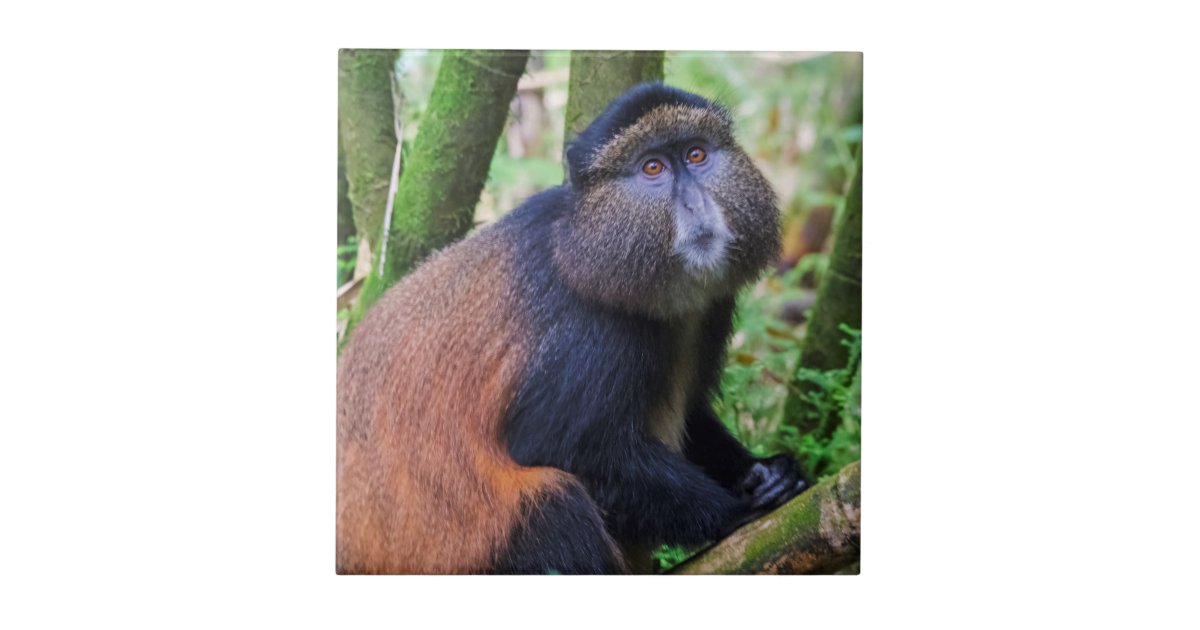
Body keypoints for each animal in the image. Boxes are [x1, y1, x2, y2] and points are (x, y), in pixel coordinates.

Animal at [336, 83, 808, 574]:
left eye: (696, 154)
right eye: (652, 167)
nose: (696, 204)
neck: (584, 245)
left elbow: (695, 412)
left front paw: (767, 472)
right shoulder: (589, 333)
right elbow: (560, 446)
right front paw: (737, 510)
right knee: (558, 505)